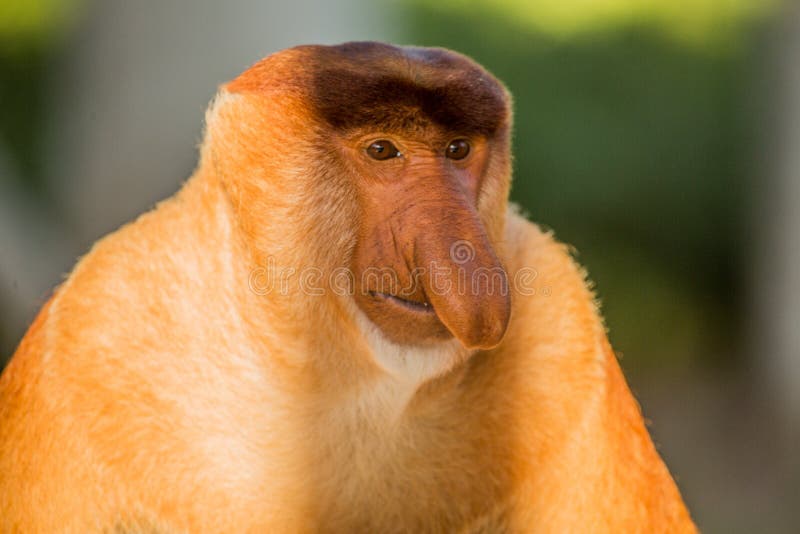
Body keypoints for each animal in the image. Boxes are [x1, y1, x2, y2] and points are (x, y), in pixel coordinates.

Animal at [0, 42, 696, 532]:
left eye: (458, 149)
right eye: (383, 150)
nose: (465, 256)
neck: (337, 388)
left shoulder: (564, 341)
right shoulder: (89, 338)